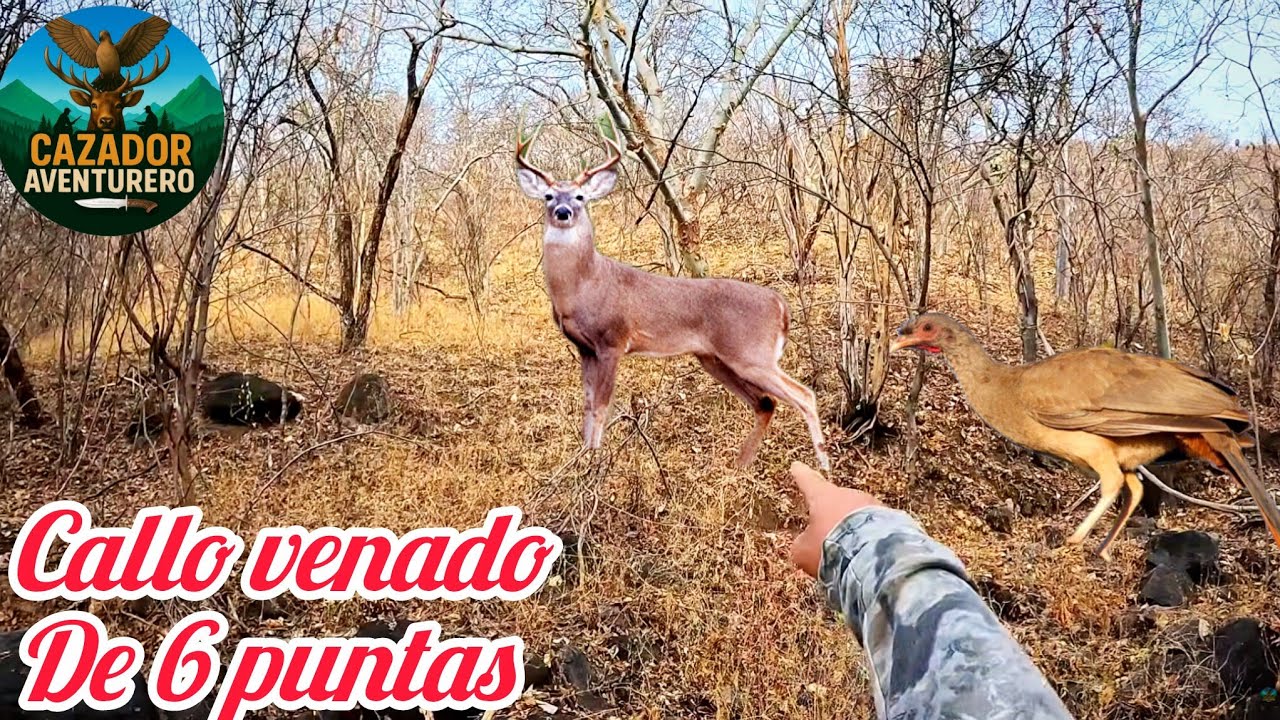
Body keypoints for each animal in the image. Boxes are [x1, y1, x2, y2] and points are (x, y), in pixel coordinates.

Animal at [515, 126, 829, 471]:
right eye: (548, 196)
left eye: (580, 197)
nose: (563, 212)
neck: (584, 285)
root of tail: (781, 305)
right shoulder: (584, 347)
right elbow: (586, 406)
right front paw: (582, 458)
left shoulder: (613, 341)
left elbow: (600, 407)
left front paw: (595, 464)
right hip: (714, 358)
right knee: (766, 402)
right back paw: (740, 466)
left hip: (752, 354)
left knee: (804, 395)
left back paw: (823, 464)